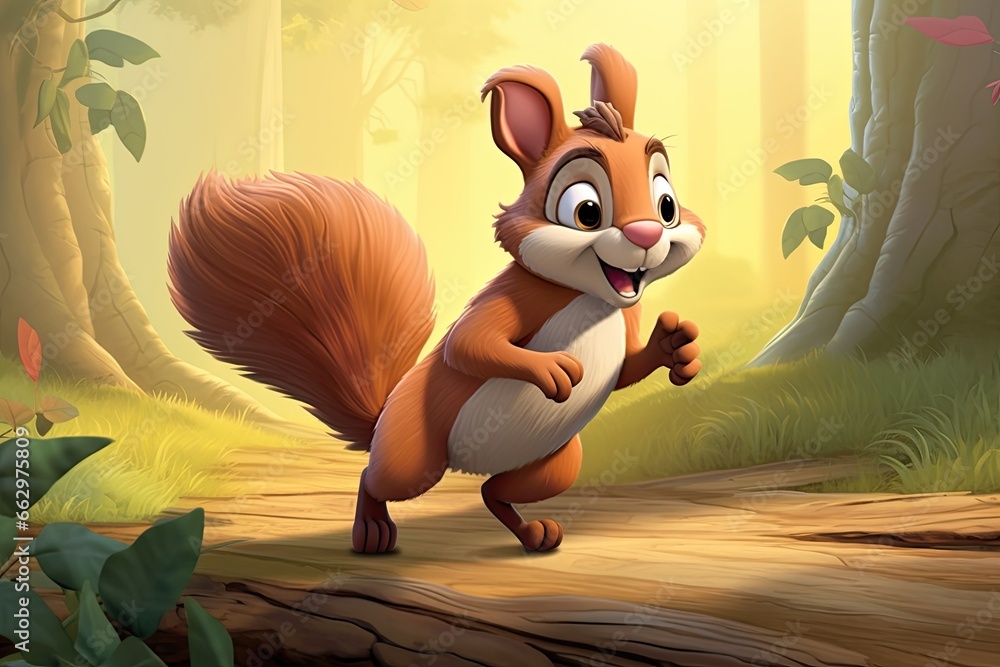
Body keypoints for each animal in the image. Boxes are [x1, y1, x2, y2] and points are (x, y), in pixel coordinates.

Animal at [167, 44, 705, 554]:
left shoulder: (626, 314)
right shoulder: (517, 295)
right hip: (412, 455)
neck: (589, 296)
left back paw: (533, 533)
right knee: (376, 479)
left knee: (495, 492)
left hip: (559, 461)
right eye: (586, 211)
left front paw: (677, 347)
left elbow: (629, 366)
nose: (646, 234)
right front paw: (552, 370)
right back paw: (371, 532)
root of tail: (383, 418)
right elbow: (468, 345)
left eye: (667, 204)